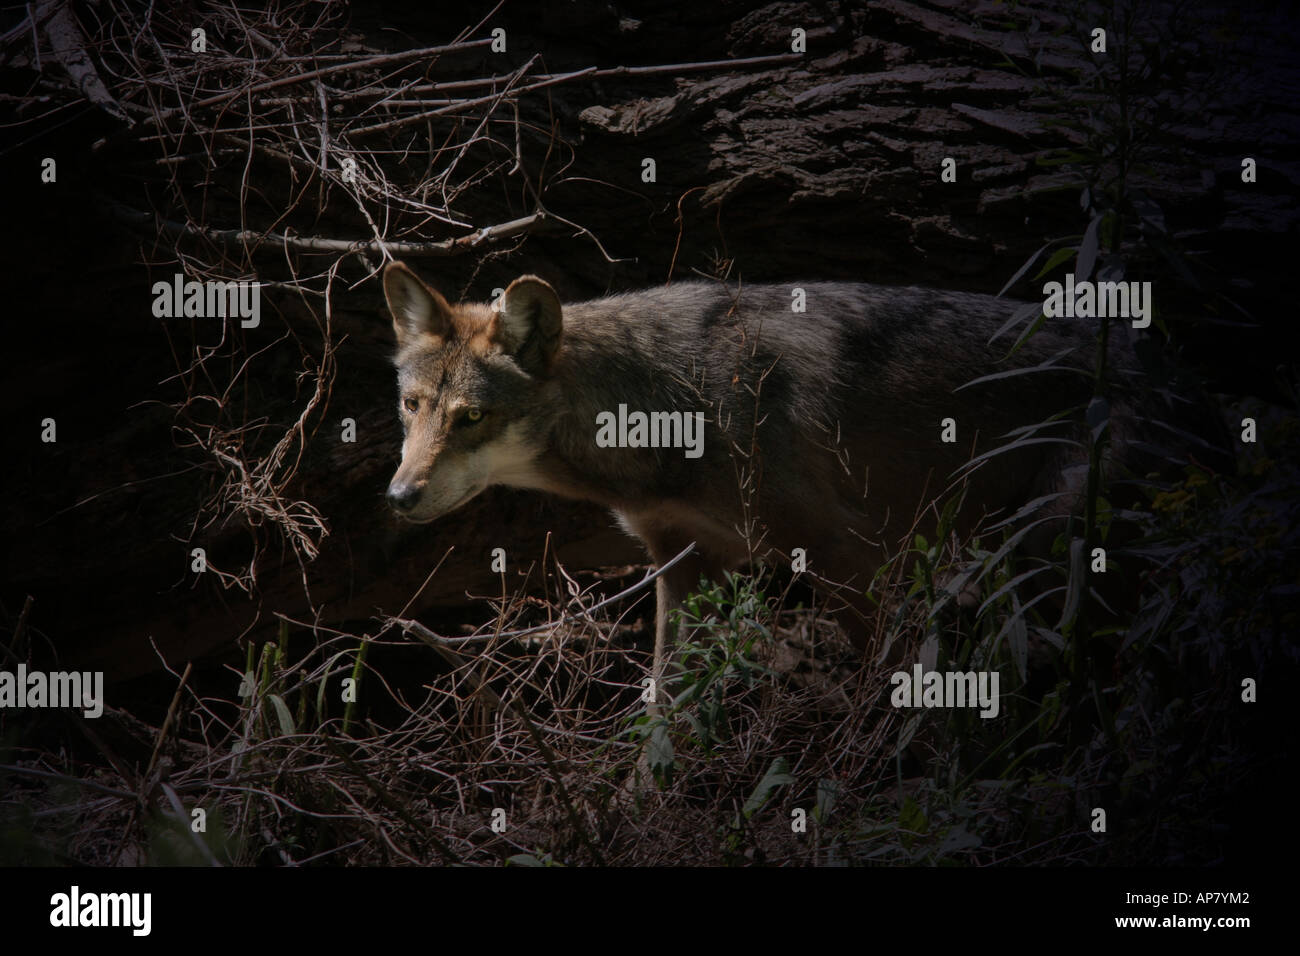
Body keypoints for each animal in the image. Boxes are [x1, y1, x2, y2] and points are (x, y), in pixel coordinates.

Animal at [381, 262, 1167, 709]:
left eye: (472, 416)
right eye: (413, 407)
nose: (399, 499)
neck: (670, 407)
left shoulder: (847, 558)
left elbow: (891, 685)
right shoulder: (684, 564)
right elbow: (662, 719)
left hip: (1049, 560)